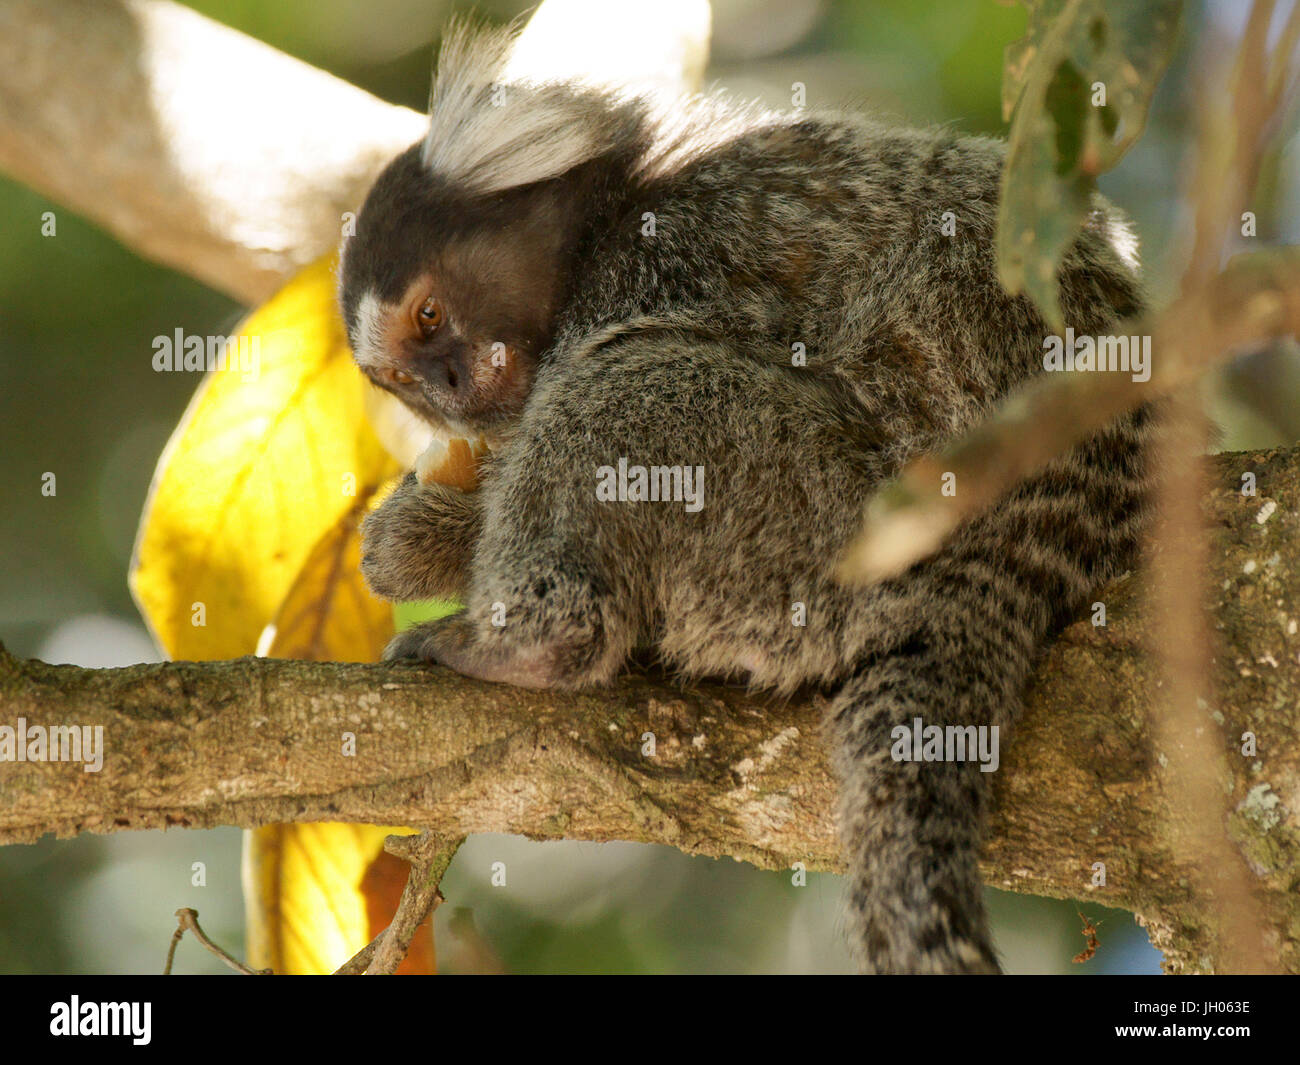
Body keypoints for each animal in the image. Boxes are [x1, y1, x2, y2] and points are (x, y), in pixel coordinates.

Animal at [338, 20, 1152, 974]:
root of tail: (1036, 534)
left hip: (830, 516)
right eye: (403, 378)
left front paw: (433, 542)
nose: (452, 386)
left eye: (429, 316)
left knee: (625, 388)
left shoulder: (675, 254)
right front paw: (417, 539)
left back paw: (531, 645)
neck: (611, 218)